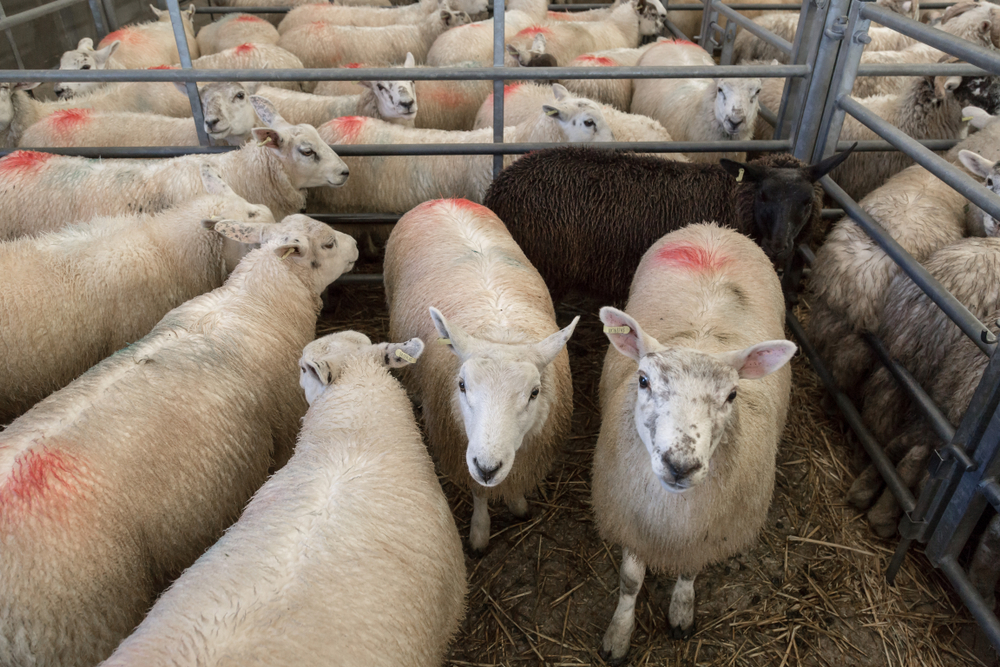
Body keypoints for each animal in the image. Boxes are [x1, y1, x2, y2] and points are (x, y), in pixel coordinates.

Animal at [384, 198, 579, 552]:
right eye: (461, 385)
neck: (500, 329)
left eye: (534, 393)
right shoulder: (461, 449)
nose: (488, 468)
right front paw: (479, 531)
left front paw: (517, 505)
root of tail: (443, 199)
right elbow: (477, 493)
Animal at [593, 224, 796, 660]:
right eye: (643, 380)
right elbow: (630, 581)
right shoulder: (631, 518)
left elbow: (689, 572)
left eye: (733, 395)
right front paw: (618, 635)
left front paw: (682, 611)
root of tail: (713, 229)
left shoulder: (703, 533)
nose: (680, 465)